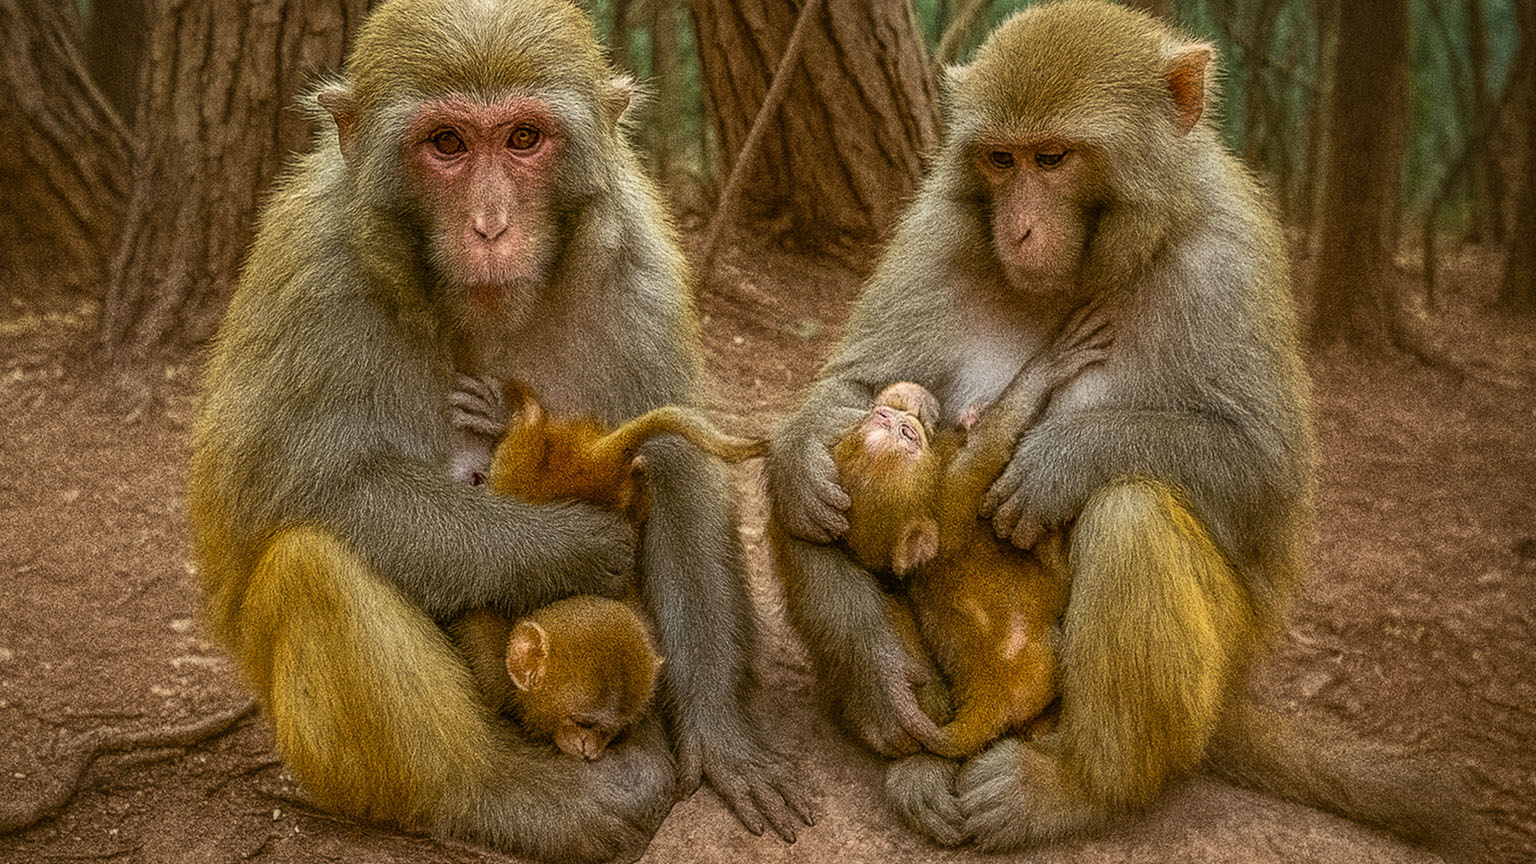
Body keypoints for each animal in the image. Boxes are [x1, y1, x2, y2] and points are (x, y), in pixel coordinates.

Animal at [768, 0, 1471, 855]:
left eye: (1054, 159)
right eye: (1000, 161)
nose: (1019, 230)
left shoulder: (1228, 260)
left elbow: (1265, 466)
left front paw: (1064, 456)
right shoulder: (940, 228)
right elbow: (853, 389)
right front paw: (809, 470)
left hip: (1215, 671)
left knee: (1132, 514)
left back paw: (1082, 787)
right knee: (813, 502)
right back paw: (912, 740)